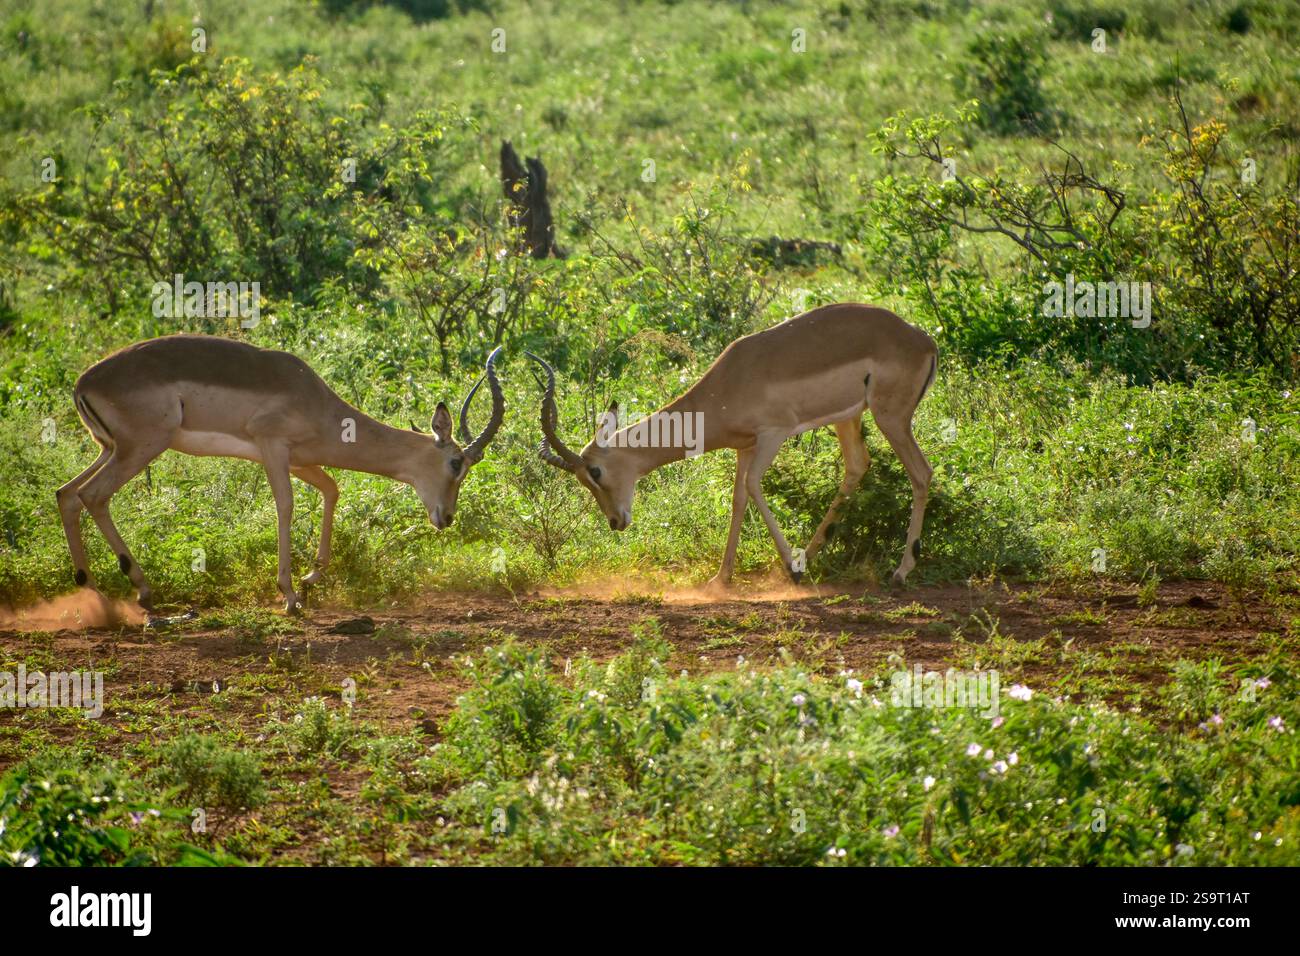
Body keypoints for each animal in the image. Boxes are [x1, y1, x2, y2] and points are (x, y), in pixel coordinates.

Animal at [58, 335, 503, 615]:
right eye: (457, 463)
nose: (447, 517)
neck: (317, 403)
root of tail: (83, 382)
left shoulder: (300, 460)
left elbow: (332, 490)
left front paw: (311, 577)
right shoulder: (272, 447)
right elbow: (285, 506)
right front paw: (289, 595)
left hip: (110, 449)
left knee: (67, 494)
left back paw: (92, 593)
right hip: (141, 447)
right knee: (93, 496)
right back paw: (141, 590)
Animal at [528, 303, 937, 587]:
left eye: (595, 471)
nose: (615, 521)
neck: (727, 383)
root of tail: (922, 339)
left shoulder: (773, 434)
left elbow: (754, 486)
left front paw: (790, 570)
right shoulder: (744, 447)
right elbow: (738, 499)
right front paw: (720, 579)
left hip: (890, 418)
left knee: (921, 473)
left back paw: (900, 572)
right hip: (848, 417)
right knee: (857, 466)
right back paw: (812, 554)